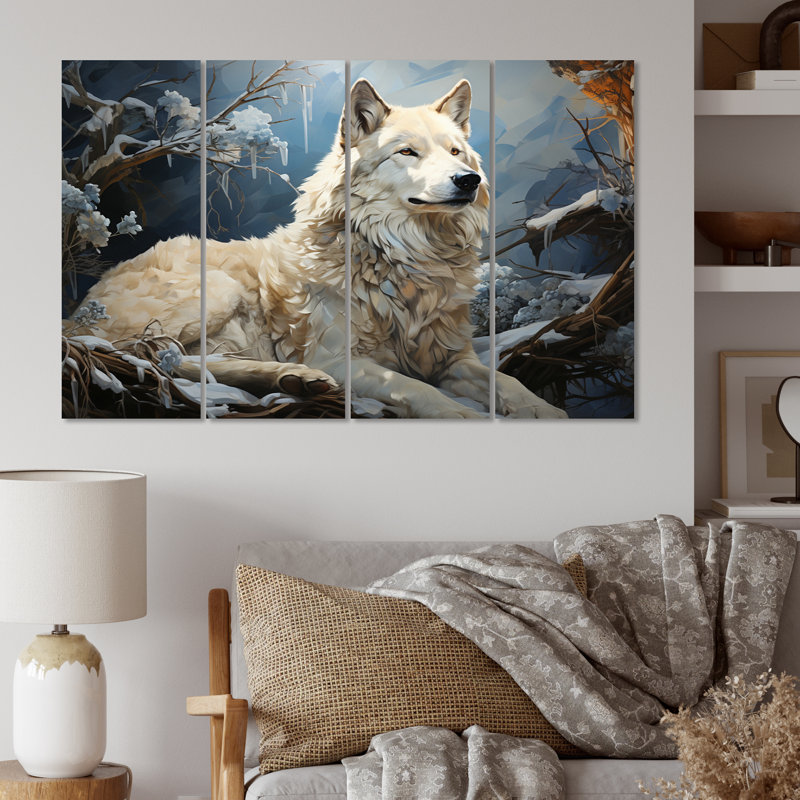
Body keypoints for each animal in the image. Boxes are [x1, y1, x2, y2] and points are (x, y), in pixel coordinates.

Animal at [74, 79, 567, 419]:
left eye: (456, 152)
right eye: (407, 152)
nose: (470, 181)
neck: (405, 260)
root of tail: (81, 306)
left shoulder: (452, 357)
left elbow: (503, 380)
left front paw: (543, 409)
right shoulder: (343, 359)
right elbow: (414, 388)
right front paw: (459, 415)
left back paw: (295, 381)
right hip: (216, 290)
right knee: (152, 358)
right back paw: (299, 378)